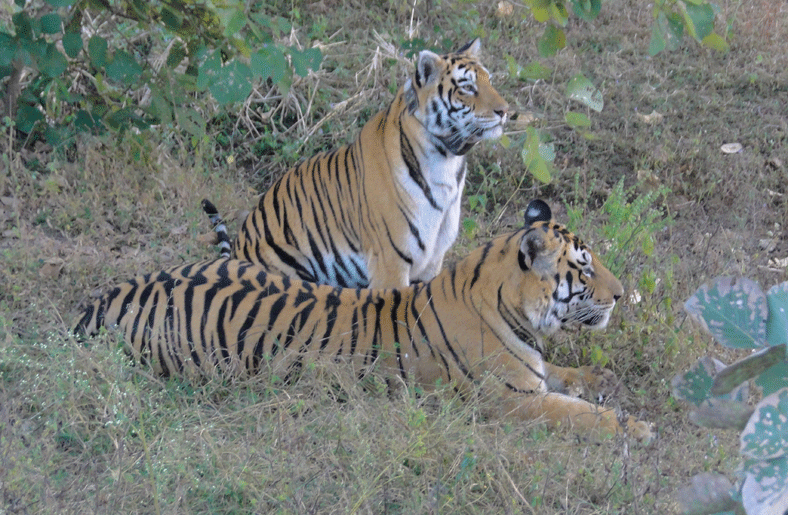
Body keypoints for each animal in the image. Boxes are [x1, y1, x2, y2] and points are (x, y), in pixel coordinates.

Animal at [74, 199, 652, 442]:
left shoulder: (531, 372)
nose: (620, 295)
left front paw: (602, 379)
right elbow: (579, 414)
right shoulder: (511, 400)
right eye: (584, 267)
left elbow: (566, 376)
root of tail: (111, 294)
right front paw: (638, 427)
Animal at [202, 38, 509, 289]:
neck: (447, 160)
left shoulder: (432, 262)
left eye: (490, 81)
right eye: (467, 87)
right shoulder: (390, 260)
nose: (505, 111)